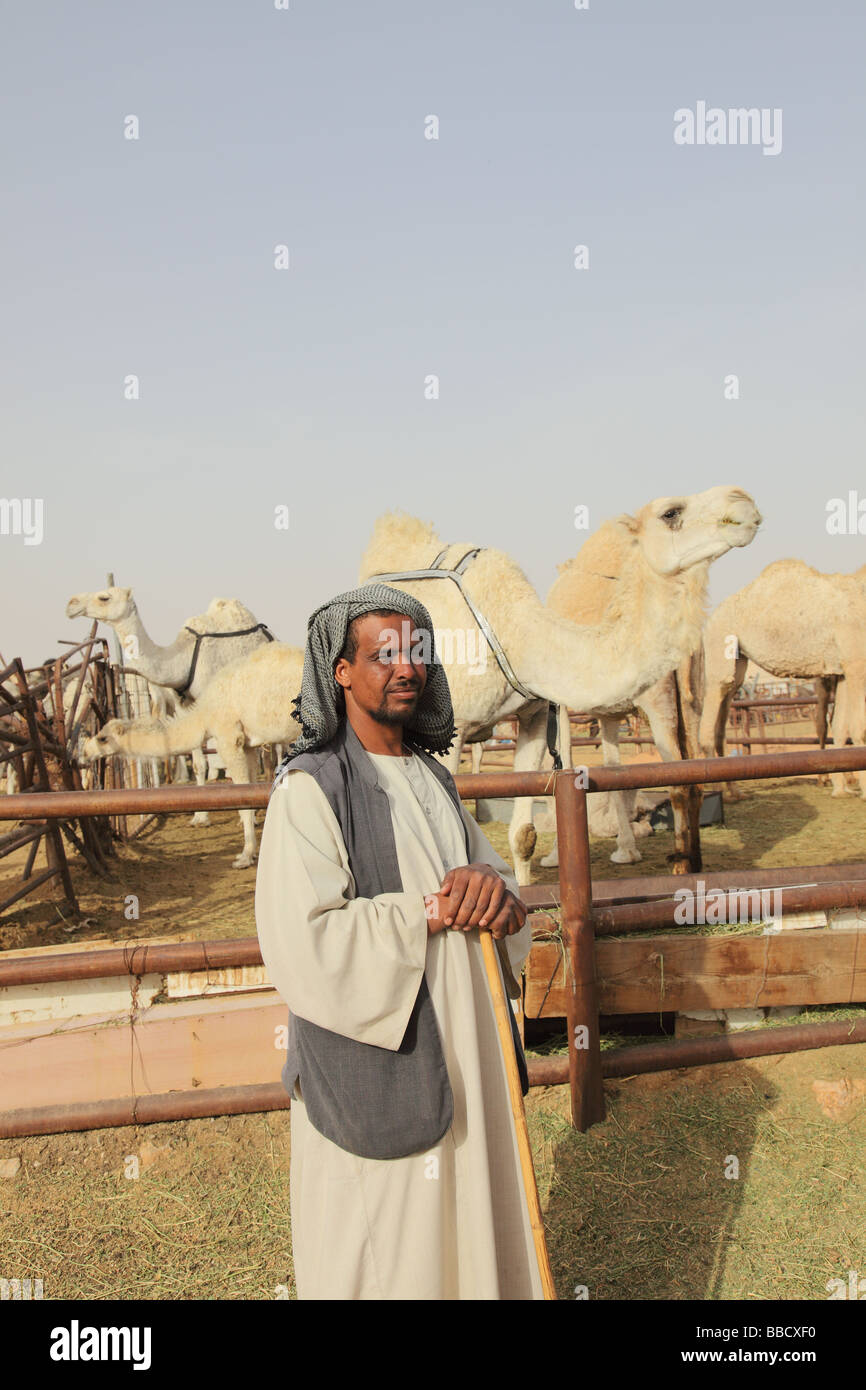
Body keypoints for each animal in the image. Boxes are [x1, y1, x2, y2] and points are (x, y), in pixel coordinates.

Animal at [66, 587, 276, 825]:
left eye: (104, 597)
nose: (72, 604)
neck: (180, 663)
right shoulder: (184, 705)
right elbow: (198, 763)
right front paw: (200, 816)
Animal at [82, 643, 304, 867]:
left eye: (102, 738)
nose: (85, 751)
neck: (203, 714)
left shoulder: (228, 738)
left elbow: (243, 802)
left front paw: (245, 856)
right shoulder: (247, 744)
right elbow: (249, 793)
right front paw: (250, 852)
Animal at [359, 486, 762, 884]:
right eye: (670, 512)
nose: (742, 500)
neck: (514, 630)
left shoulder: (534, 716)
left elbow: (523, 835)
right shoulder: (450, 728)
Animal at [699, 560, 866, 797]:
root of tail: (710, 619)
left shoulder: (843, 669)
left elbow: (840, 725)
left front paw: (841, 790)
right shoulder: (856, 663)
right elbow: (859, 727)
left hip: (737, 659)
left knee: (725, 708)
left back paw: (735, 792)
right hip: (718, 643)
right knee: (712, 707)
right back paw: (718, 791)